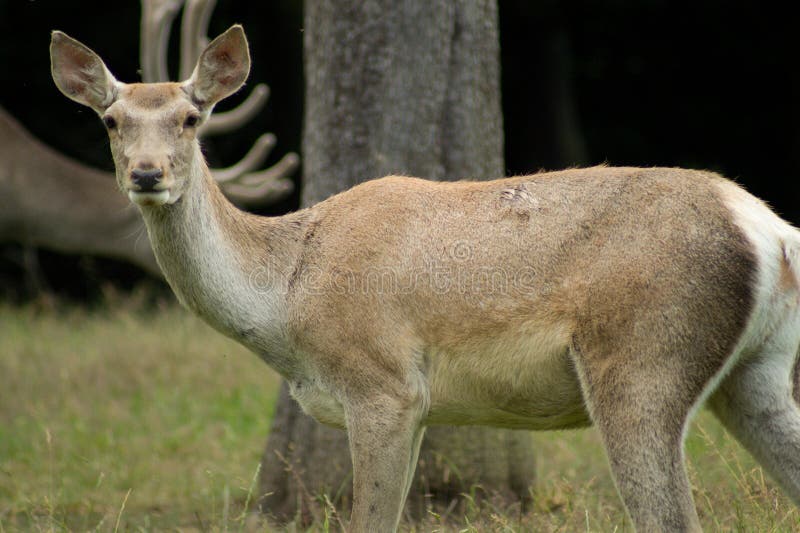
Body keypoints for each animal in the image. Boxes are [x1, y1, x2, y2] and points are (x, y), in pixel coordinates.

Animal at [50, 25, 800, 532]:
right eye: (111, 120)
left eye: (190, 117)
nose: (147, 174)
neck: (286, 297)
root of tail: (769, 229)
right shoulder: (414, 405)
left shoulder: (382, 383)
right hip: (755, 374)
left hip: (642, 358)